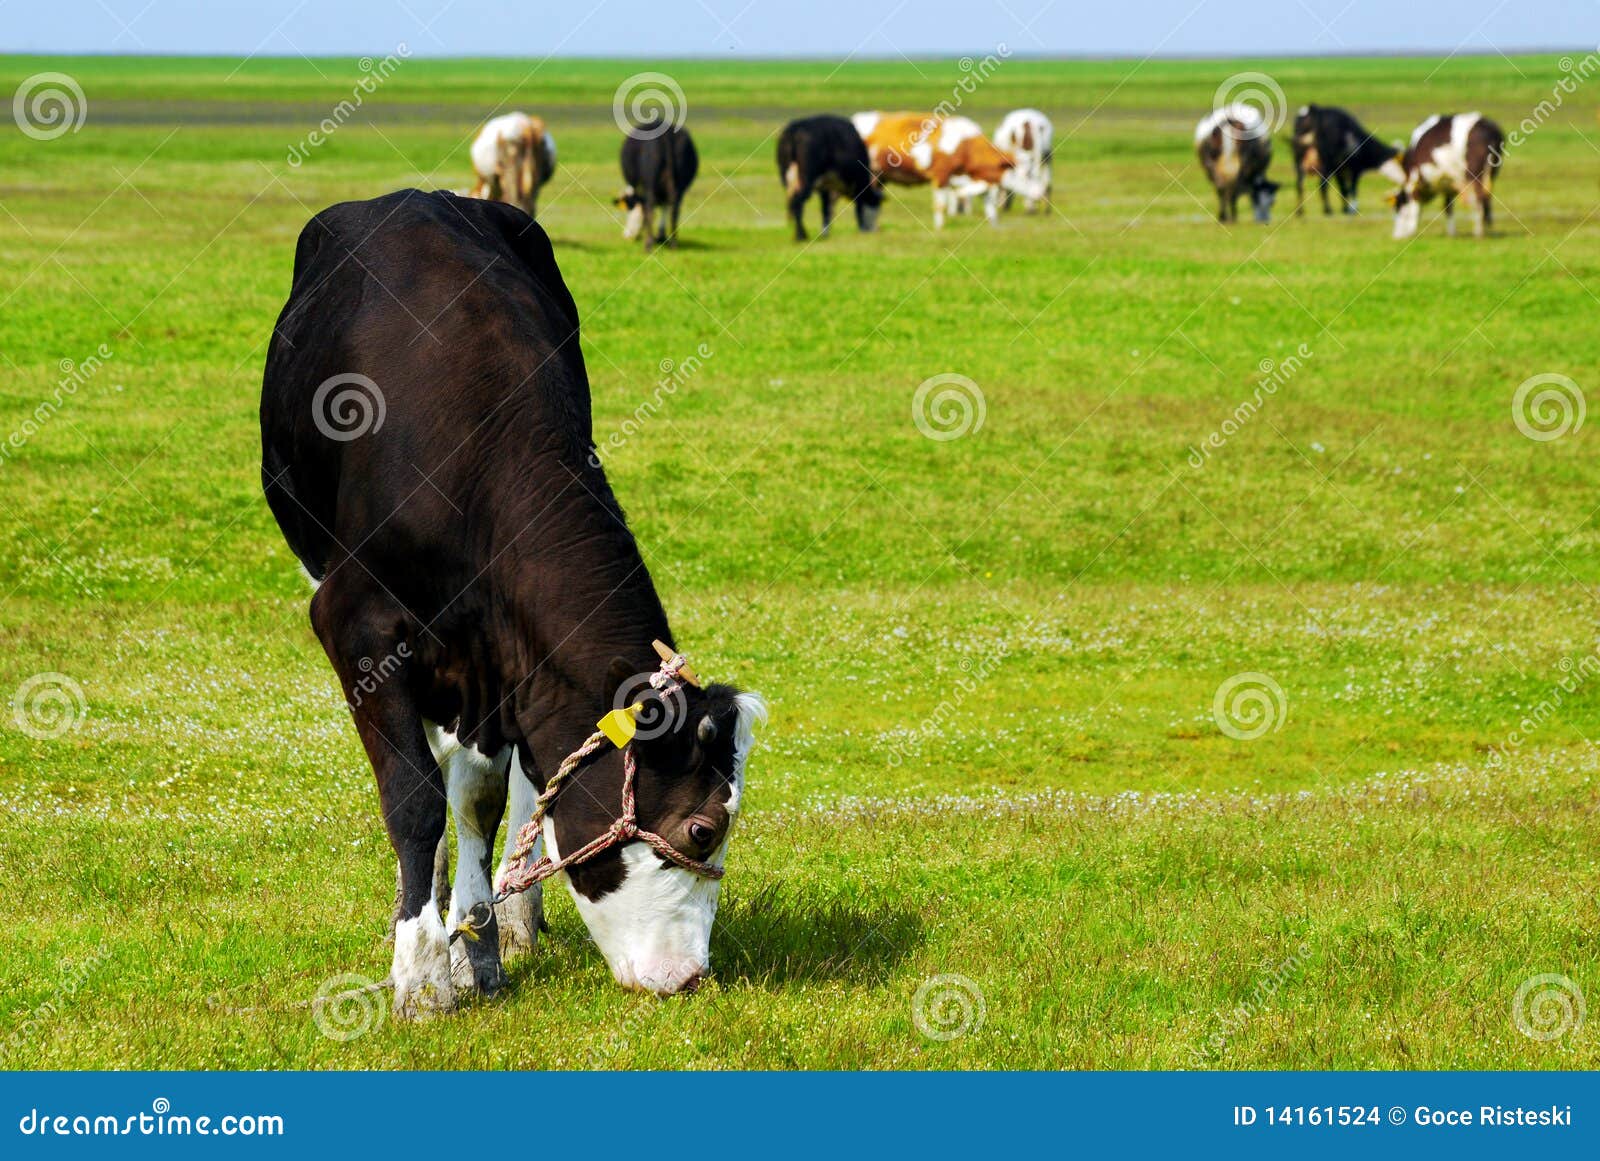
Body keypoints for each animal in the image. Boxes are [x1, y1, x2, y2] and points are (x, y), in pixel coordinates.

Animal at [260, 189, 765, 1017]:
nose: (690, 975)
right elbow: (414, 796)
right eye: (698, 829)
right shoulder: (356, 624)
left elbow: (482, 797)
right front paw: (421, 969)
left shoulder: (501, 661)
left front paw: (478, 942)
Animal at [616, 118, 698, 251]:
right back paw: (673, 244)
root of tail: (667, 133)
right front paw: (661, 236)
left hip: (650, 184)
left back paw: (648, 244)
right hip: (679, 187)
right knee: (674, 210)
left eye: (628, 210)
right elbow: (665, 207)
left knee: (650, 209)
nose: (626, 235)